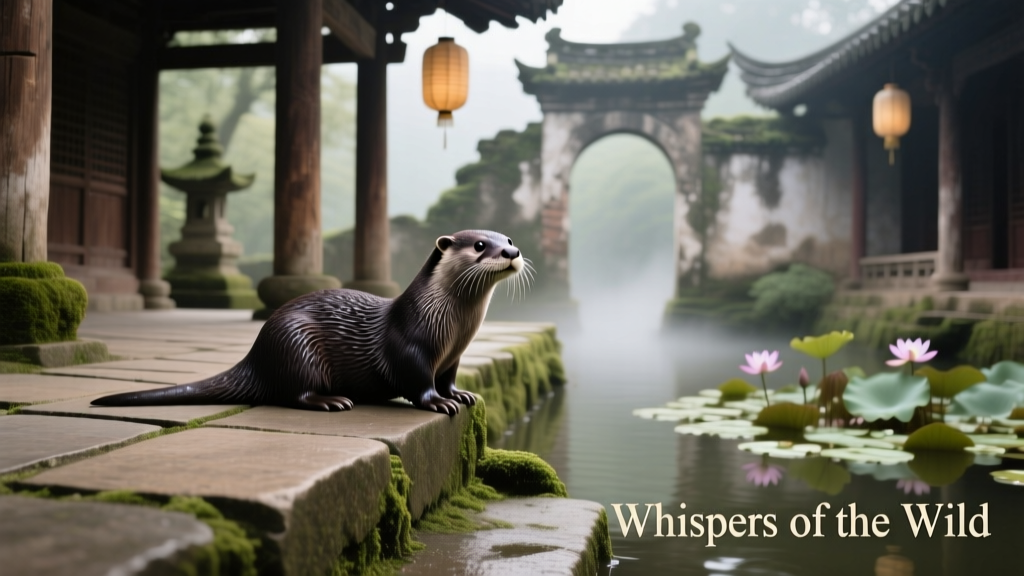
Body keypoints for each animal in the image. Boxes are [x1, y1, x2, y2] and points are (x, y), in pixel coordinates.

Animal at [92, 230, 530, 414]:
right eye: (479, 245)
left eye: (508, 238)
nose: (512, 251)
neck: (448, 325)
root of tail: (256, 355)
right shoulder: (411, 347)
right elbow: (418, 383)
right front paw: (438, 402)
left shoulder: (453, 356)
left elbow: (449, 378)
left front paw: (460, 394)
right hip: (296, 343)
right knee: (293, 394)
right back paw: (331, 400)